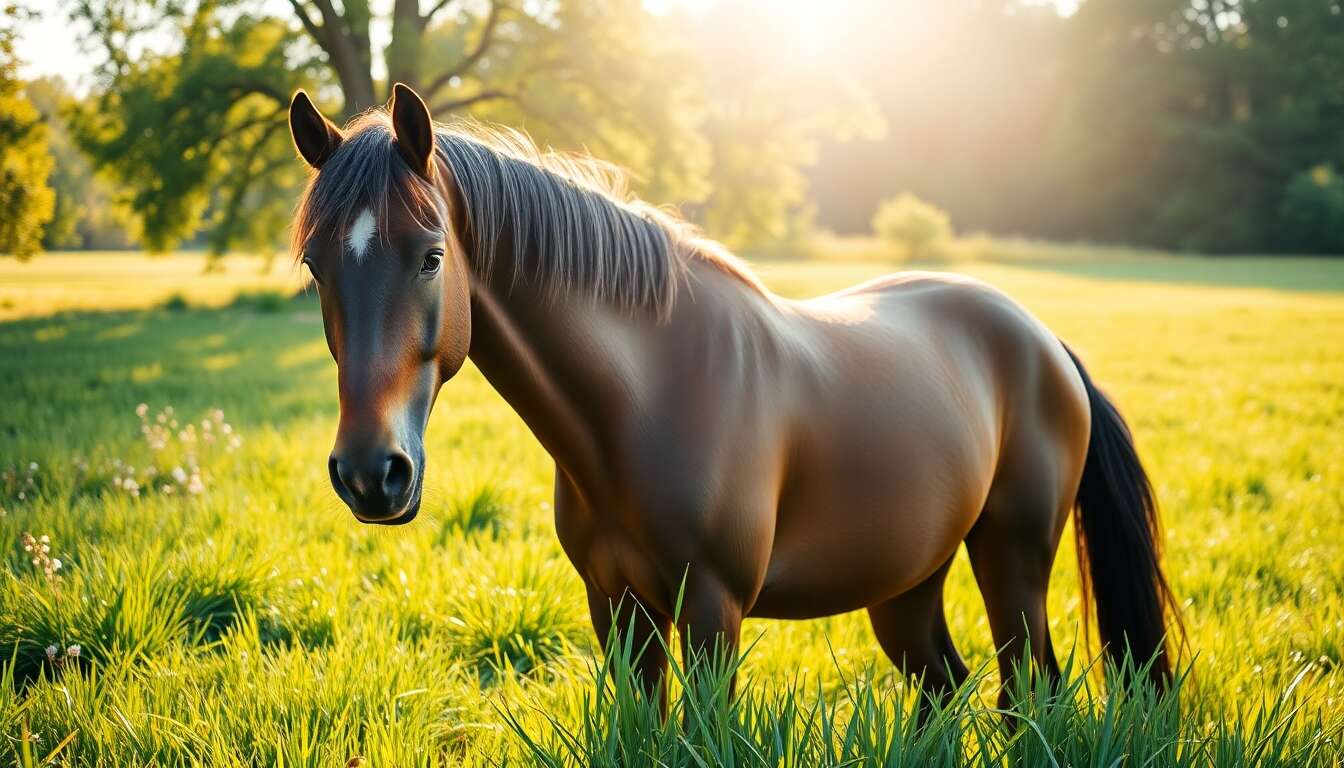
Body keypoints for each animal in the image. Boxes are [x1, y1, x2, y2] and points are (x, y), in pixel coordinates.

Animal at [286, 83, 1180, 708]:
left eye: (432, 256)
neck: (649, 398)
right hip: (909, 580)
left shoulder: (712, 611)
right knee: (943, 685)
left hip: (1014, 560)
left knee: (1028, 689)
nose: (371, 474)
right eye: (314, 267)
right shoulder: (618, 610)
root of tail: (1042, 340)